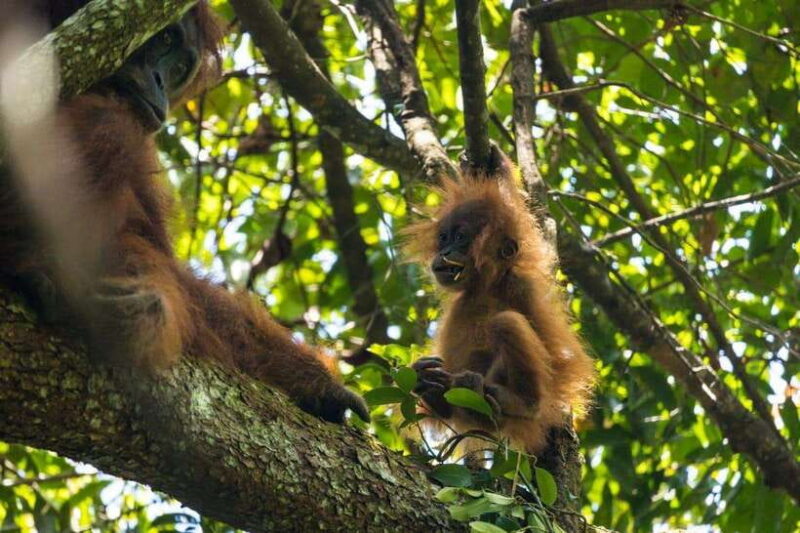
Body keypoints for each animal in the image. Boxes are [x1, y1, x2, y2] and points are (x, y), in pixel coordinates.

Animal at [0, 1, 368, 424]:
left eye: (178, 68)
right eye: (161, 39)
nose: (161, 81)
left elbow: (153, 249)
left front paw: (317, 384)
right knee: (109, 126)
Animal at [403, 148, 595, 453]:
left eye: (461, 237)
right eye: (444, 237)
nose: (445, 251)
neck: (485, 287)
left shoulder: (522, 286)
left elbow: (557, 359)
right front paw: (493, 162)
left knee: (506, 323)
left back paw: (518, 403)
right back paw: (430, 387)